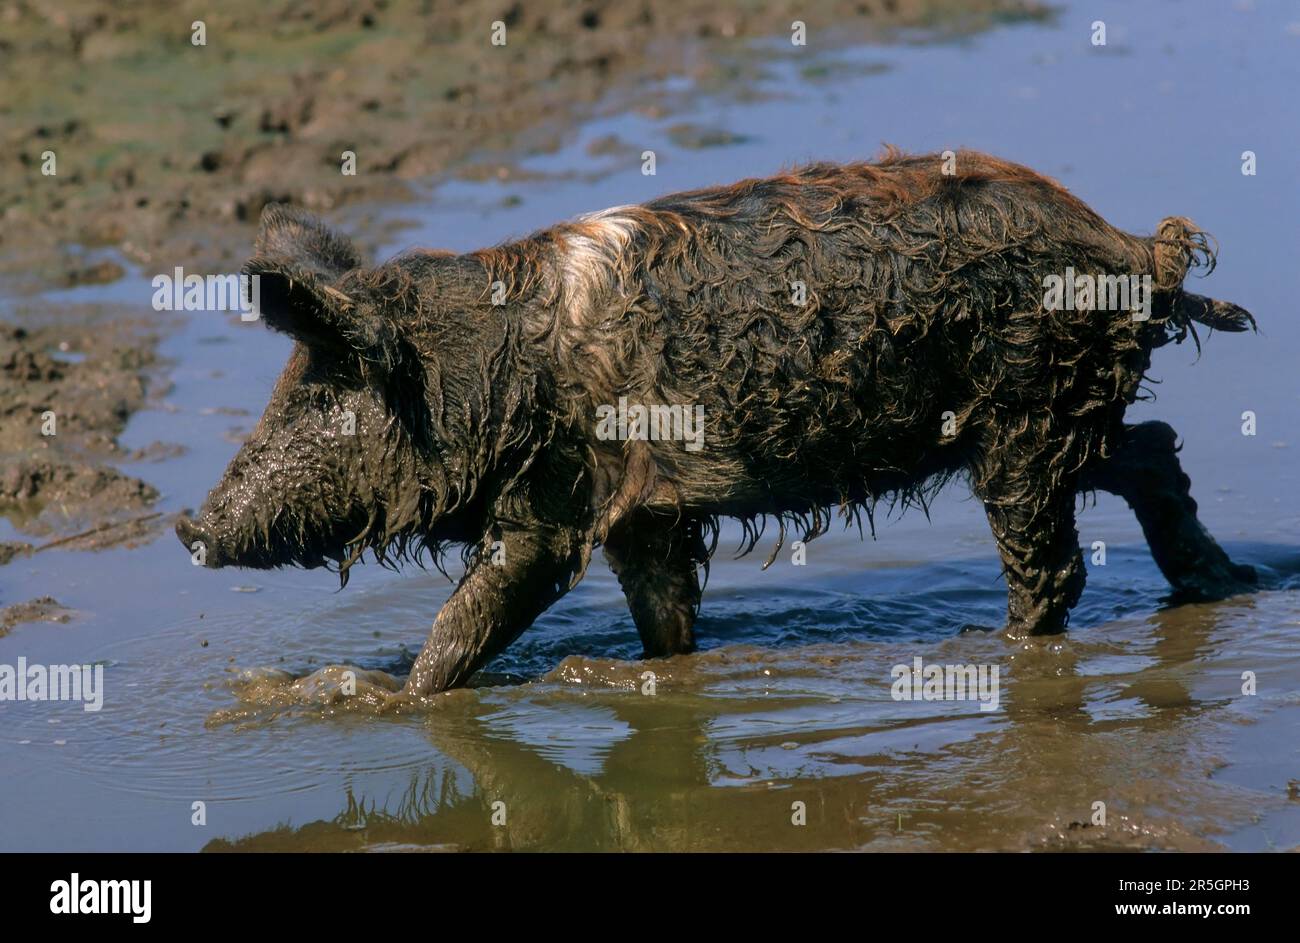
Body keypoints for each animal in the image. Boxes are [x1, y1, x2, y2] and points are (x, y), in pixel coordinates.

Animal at [177, 149, 1257, 699]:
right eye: (292, 388)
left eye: (321, 394)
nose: (190, 525)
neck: (482, 378)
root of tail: (1132, 247)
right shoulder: (643, 515)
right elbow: (664, 619)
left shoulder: (556, 502)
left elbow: (473, 612)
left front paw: (371, 696)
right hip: (1062, 414)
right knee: (1151, 452)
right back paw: (1224, 583)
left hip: (1020, 422)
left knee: (1056, 563)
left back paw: (993, 649)